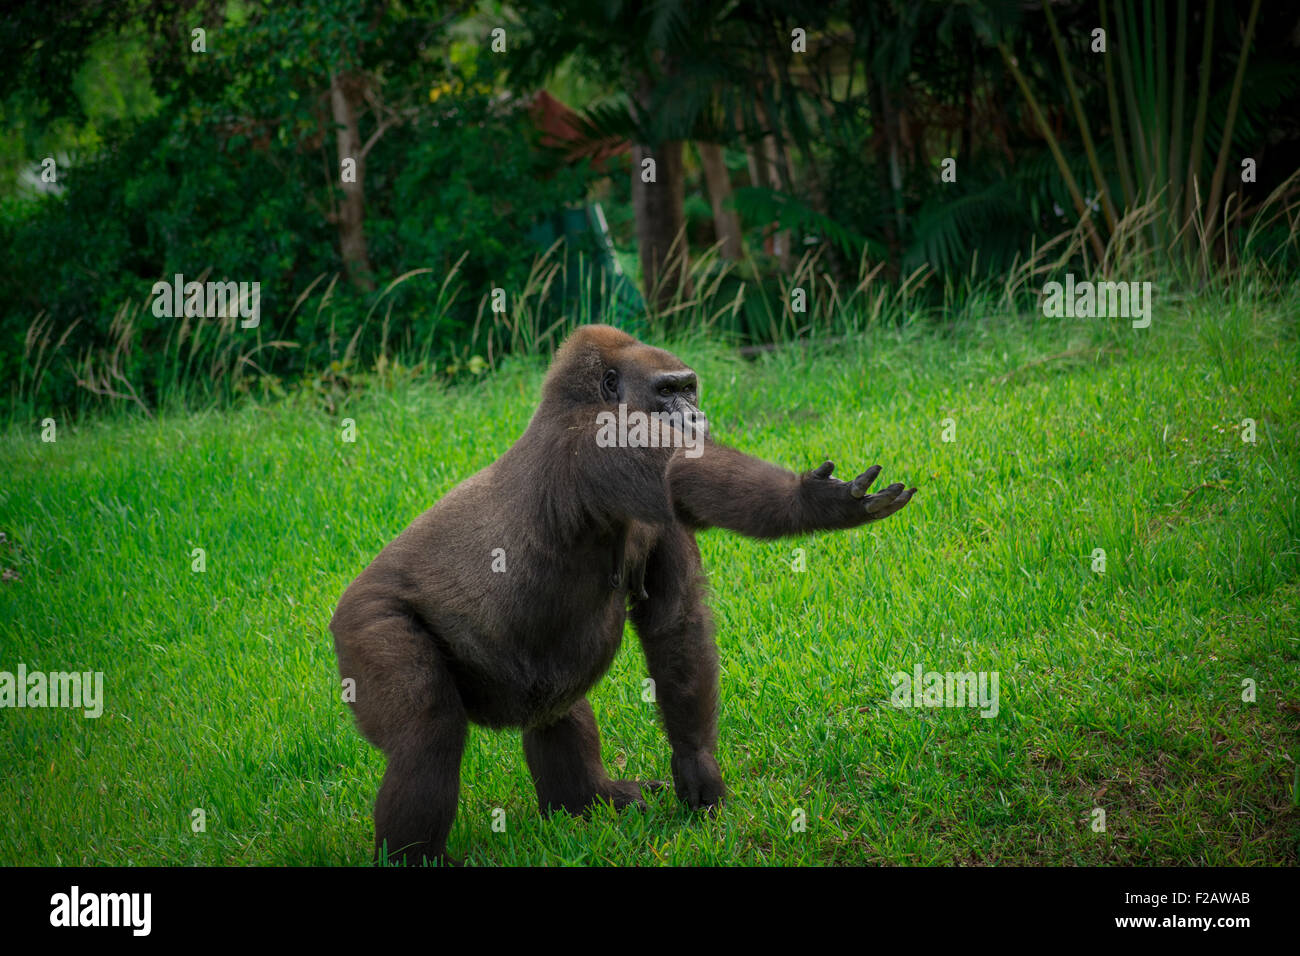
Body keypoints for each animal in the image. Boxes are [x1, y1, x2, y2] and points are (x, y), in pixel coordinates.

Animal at [329, 324, 915, 864]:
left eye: (690, 389)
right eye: (667, 391)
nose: (696, 419)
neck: (583, 400)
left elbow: (676, 623)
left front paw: (696, 765)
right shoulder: (604, 439)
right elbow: (684, 475)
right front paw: (811, 501)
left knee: (556, 701)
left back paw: (587, 801)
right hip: (366, 624)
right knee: (427, 734)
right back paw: (414, 856)